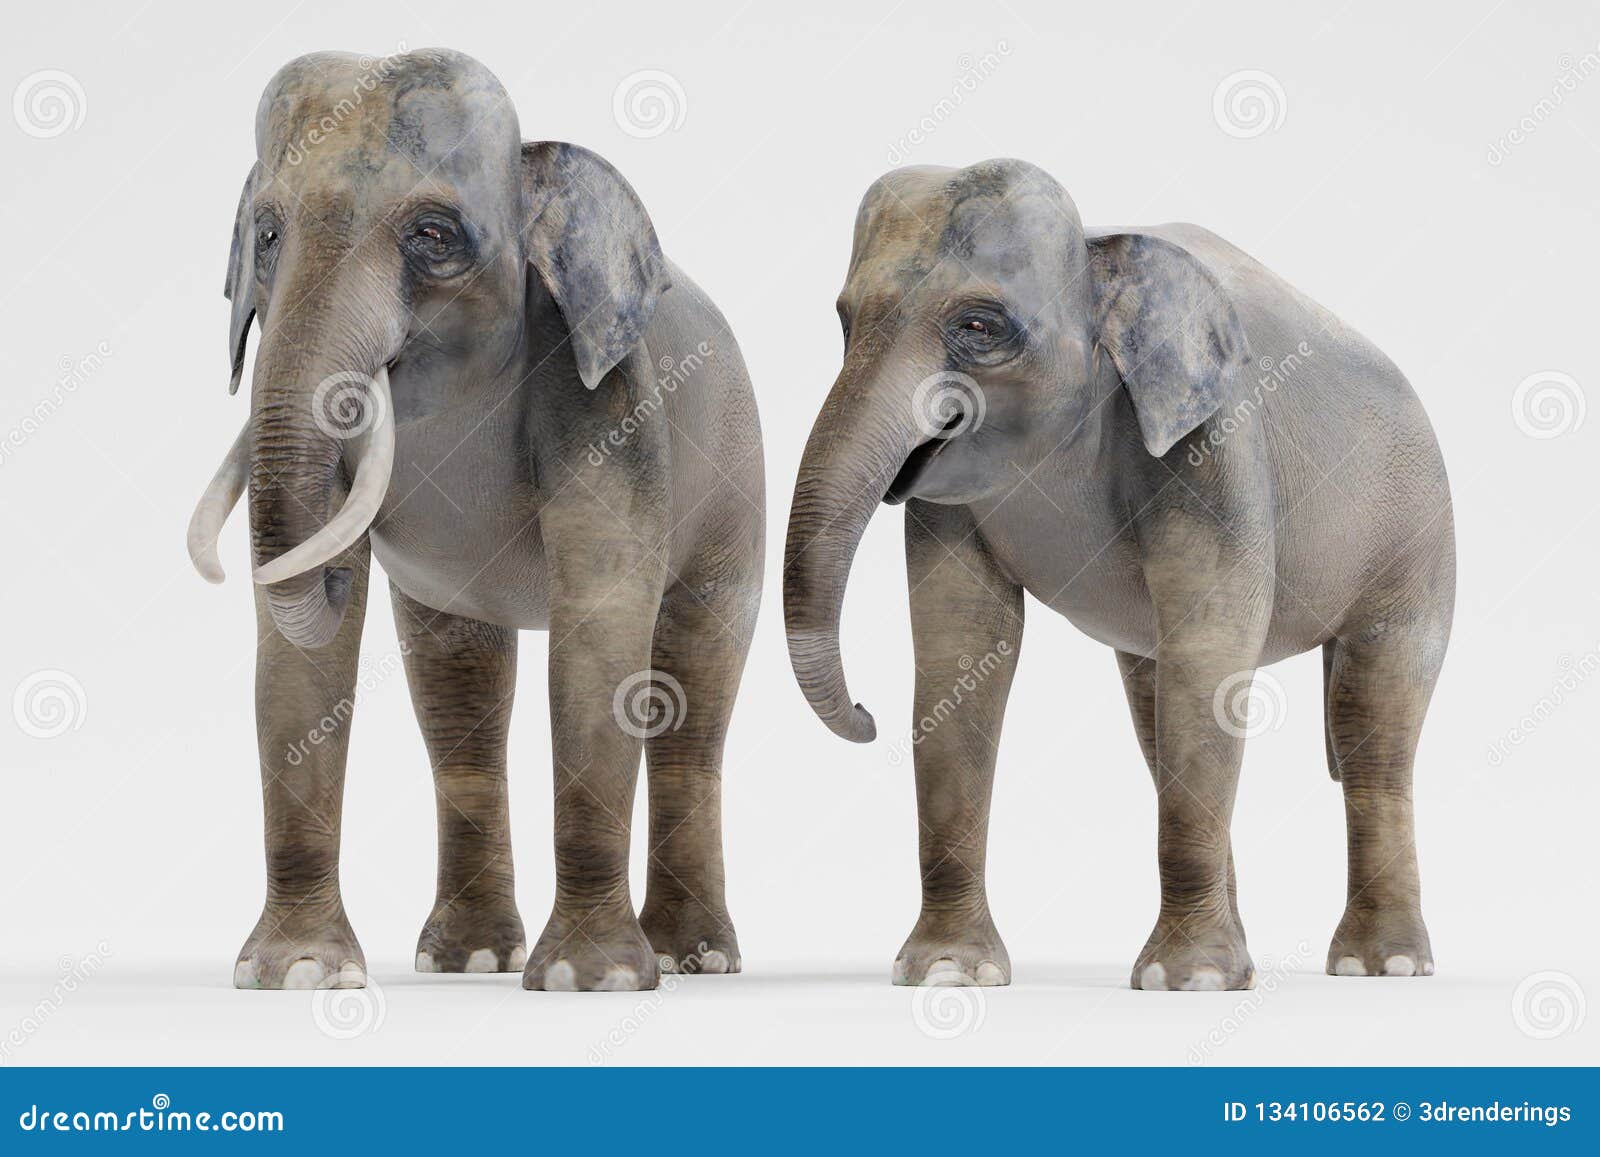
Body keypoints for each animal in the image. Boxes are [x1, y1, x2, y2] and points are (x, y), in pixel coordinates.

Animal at [186, 49, 763, 992]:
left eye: (433, 235)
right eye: (266, 236)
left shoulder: (609, 396)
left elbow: (602, 636)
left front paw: (589, 979)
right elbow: (302, 661)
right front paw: (295, 974)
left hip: (738, 494)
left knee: (694, 695)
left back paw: (695, 957)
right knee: (459, 695)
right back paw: (471, 957)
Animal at [783, 159, 1453, 991]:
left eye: (979, 327)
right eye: (845, 320)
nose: (865, 713)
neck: (1099, 248)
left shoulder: (1217, 445)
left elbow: (1212, 655)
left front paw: (1185, 980)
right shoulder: (951, 491)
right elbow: (960, 651)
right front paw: (946, 972)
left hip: (1417, 541)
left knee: (1373, 720)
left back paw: (1380, 964)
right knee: (1156, 713)